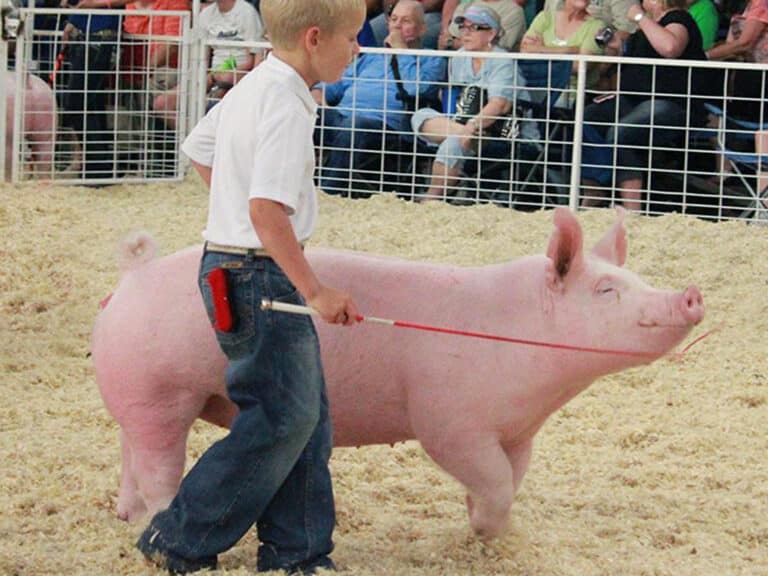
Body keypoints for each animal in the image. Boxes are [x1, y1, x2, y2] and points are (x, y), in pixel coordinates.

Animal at [92, 207, 704, 539]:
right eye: (606, 290)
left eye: (641, 279)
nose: (690, 294)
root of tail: (133, 275)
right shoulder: (449, 421)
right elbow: (490, 477)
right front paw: (480, 524)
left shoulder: (519, 432)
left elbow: (512, 478)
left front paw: (484, 526)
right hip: (162, 392)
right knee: (159, 466)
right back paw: (159, 520)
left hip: (139, 396)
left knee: (128, 449)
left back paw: (125, 515)